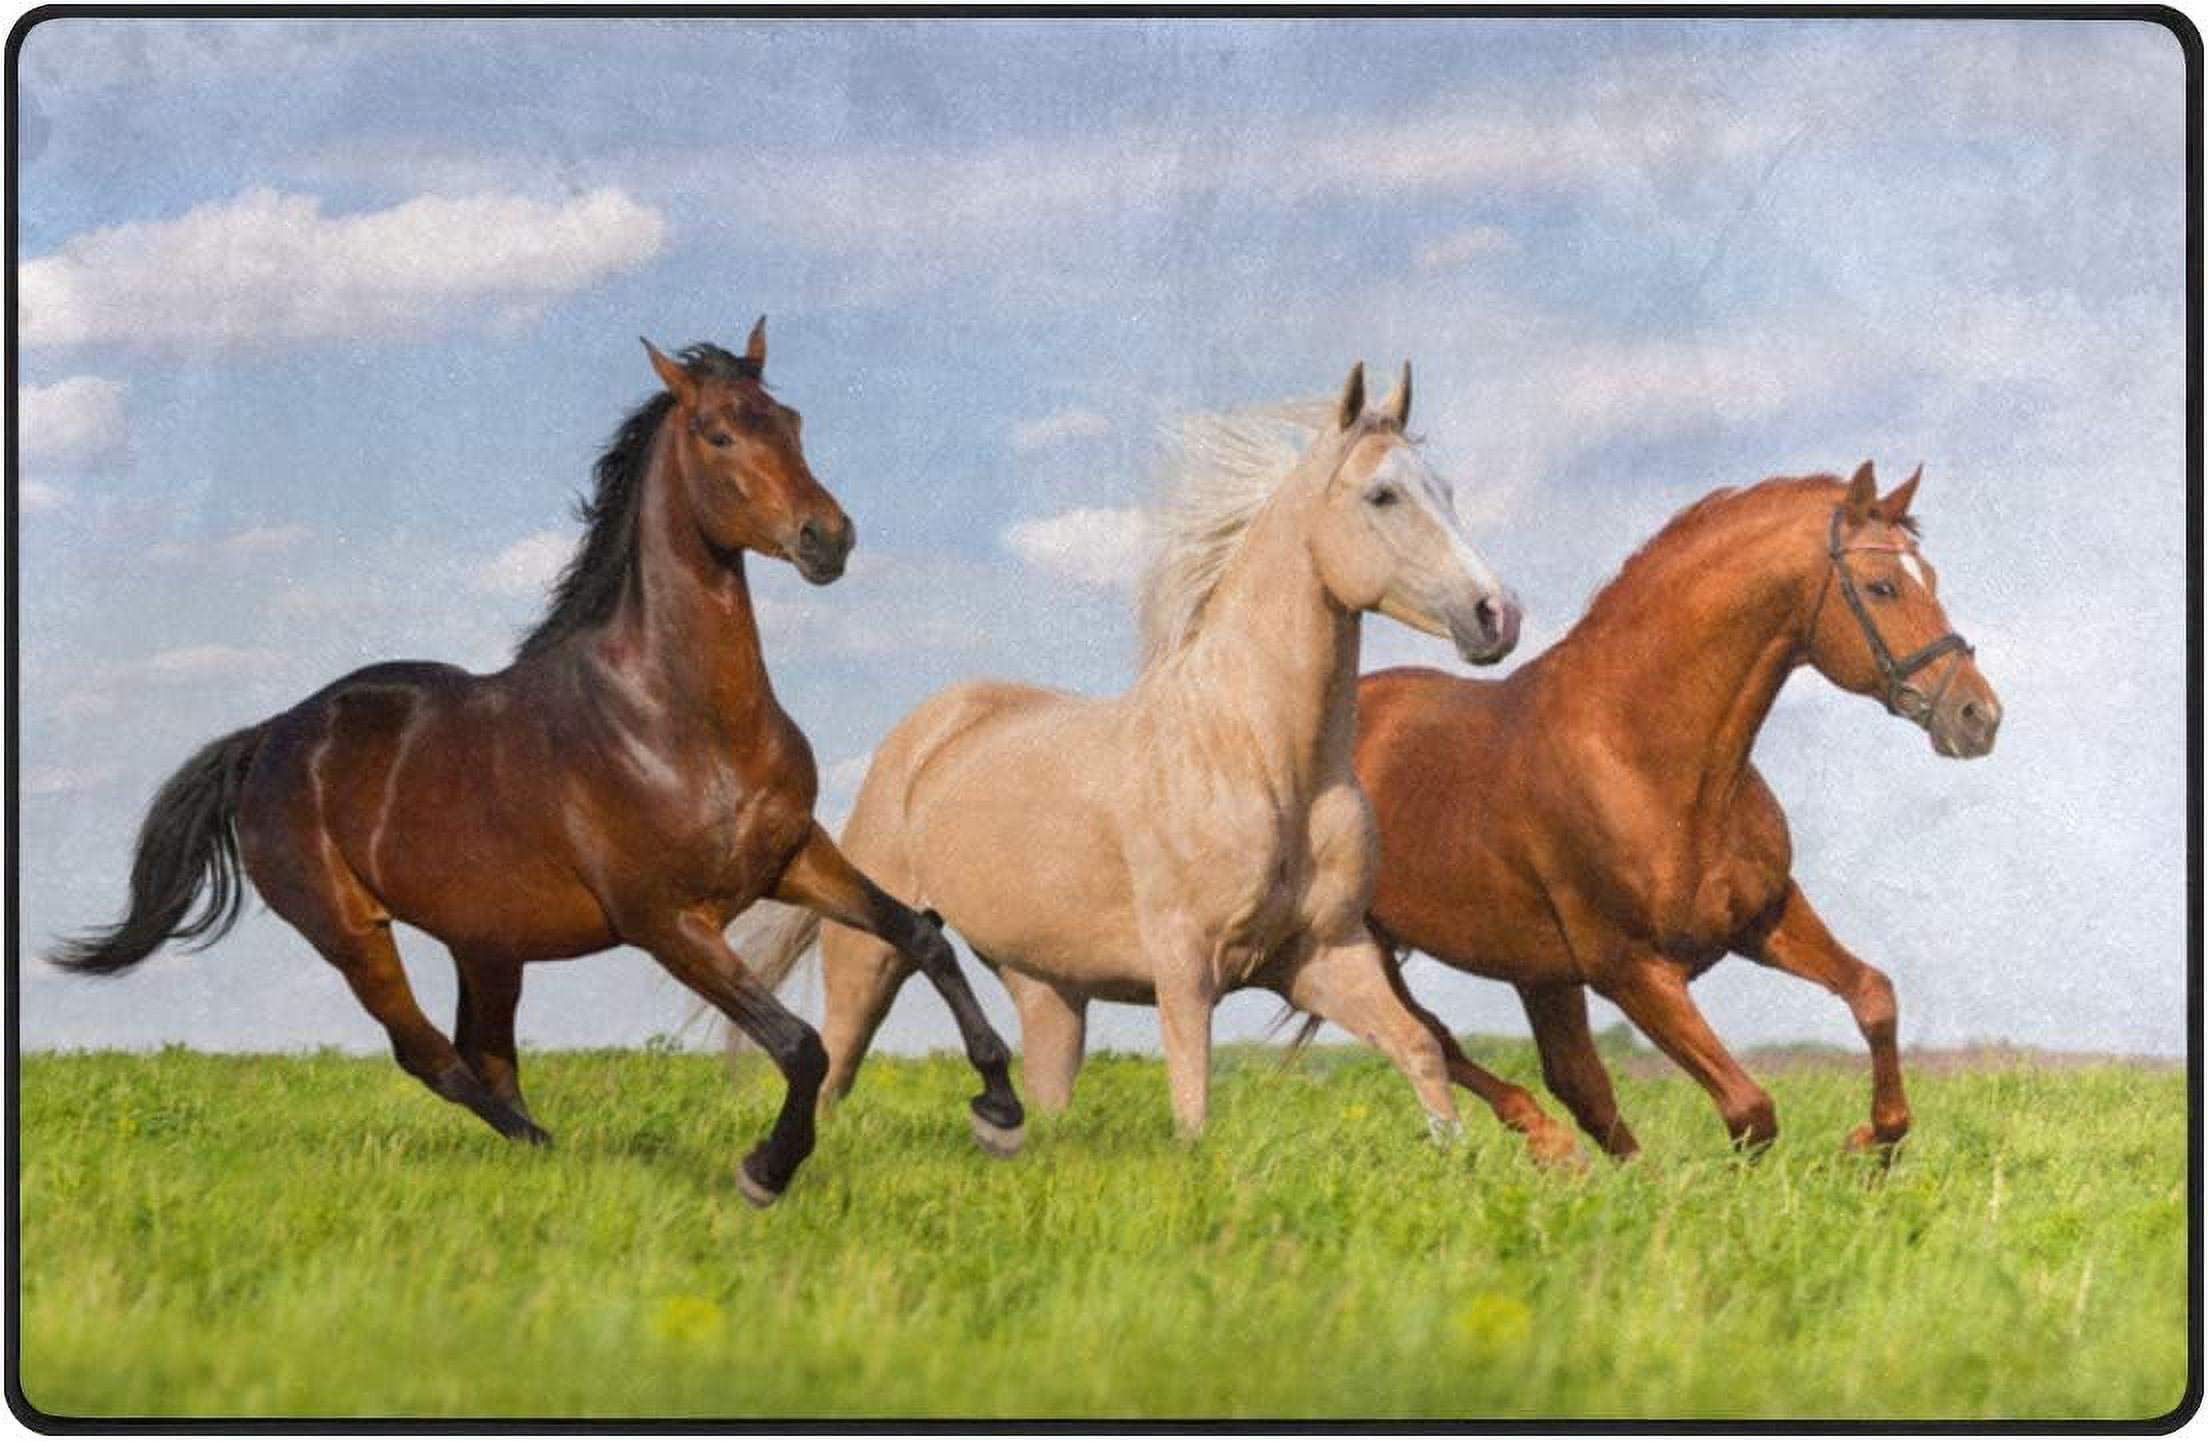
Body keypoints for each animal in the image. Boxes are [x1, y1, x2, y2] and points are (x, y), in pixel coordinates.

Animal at [50, 322, 1024, 1207]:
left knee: (485, 1054)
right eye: (719, 432)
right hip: (351, 933)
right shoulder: (668, 922)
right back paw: (555, 1150)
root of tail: (270, 737)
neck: (677, 720)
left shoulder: (795, 858)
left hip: (487, 944)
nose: (829, 538)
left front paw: (1000, 1110)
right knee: (432, 1056)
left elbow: (923, 937)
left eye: (789, 419)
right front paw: (765, 1170)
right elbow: (798, 1043)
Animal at [734, 362, 1547, 1146]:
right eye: (1382, 494)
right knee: (839, 1065)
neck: (1258, 756)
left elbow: (1420, 1050)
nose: (1496, 615)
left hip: (1047, 985)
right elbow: (1193, 1107)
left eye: (1445, 490)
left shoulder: (1322, 955)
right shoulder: (1185, 965)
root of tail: (921, 735)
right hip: (868, 953)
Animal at [1350, 462, 2001, 1163]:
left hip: (1537, 973)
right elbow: (1750, 1108)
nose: (1978, 716)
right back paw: (1554, 1149)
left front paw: (1871, 1144)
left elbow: (1874, 996)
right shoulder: (1630, 970)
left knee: (1570, 1079)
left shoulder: (1764, 916)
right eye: (1882, 586)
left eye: (1928, 578)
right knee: (1429, 1040)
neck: (1645, 758)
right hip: (1359, 947)